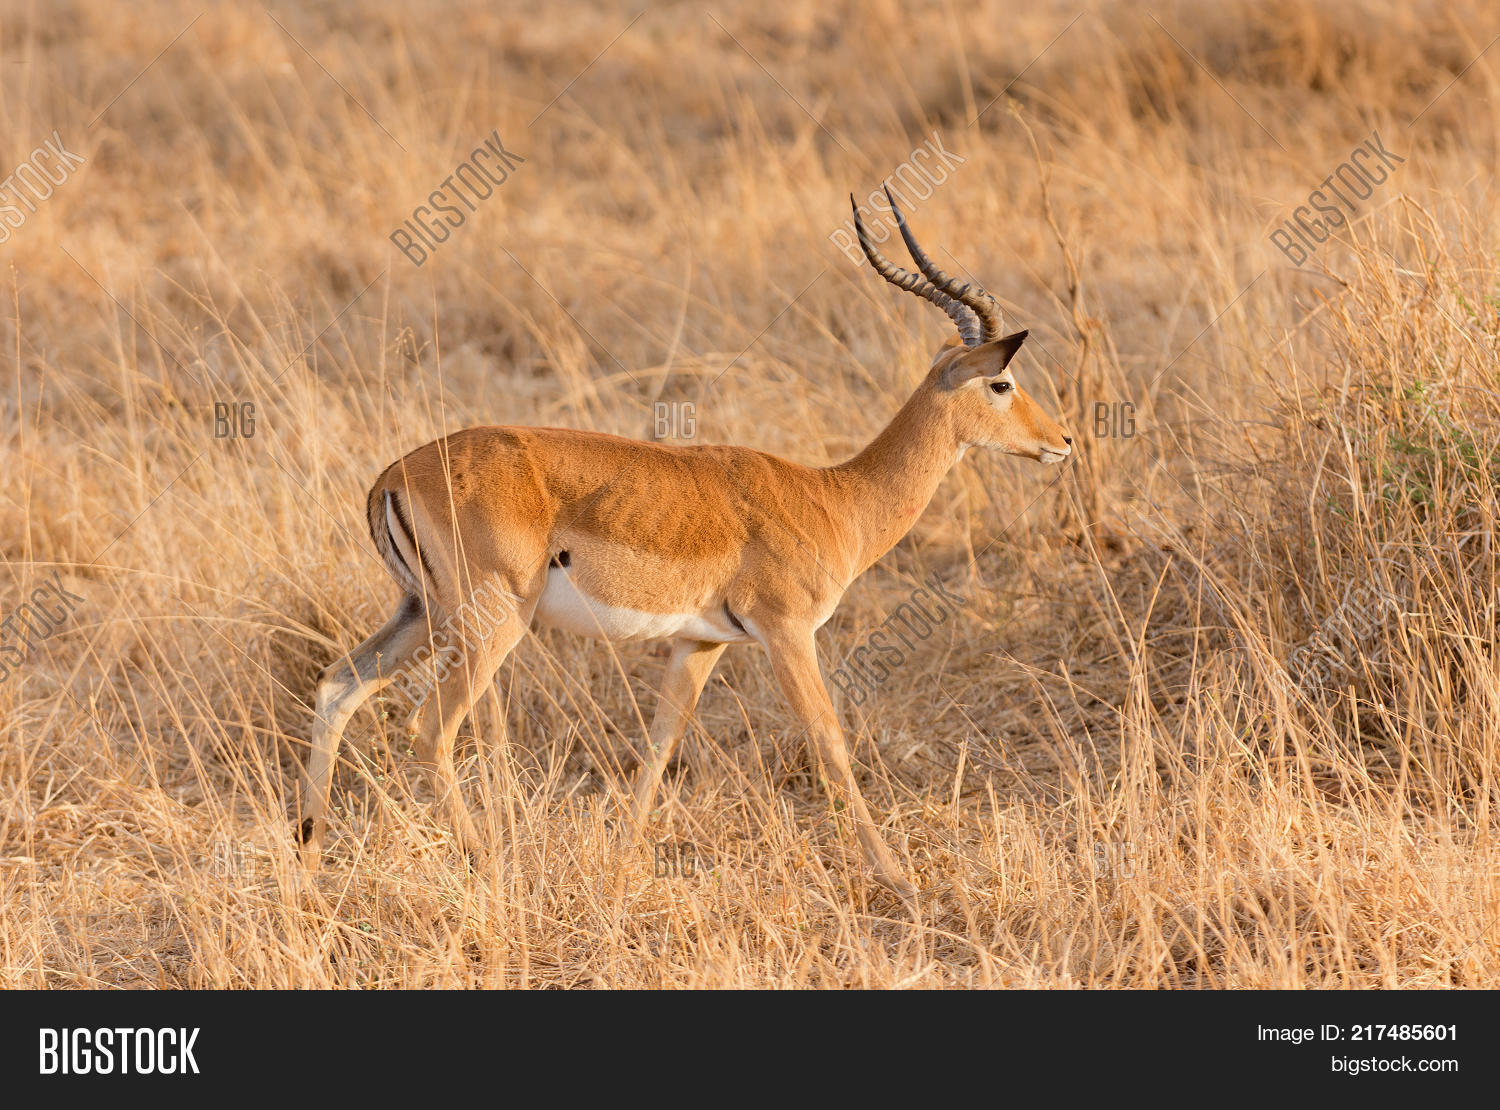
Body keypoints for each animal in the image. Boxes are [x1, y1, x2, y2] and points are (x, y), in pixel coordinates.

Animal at [298, 188, 1072, 897]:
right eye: (1002, 382)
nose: (1061, 441)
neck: (835, 499)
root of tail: (394, 474)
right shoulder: (787, 632)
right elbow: (828, 740)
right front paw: (898, 877)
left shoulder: (699, 642)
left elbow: (660, 742)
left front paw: (621, 860)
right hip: (492, 621)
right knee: (430, 726)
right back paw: (484, 858)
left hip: (423, 612)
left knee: (338, 685)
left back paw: (305, 856)